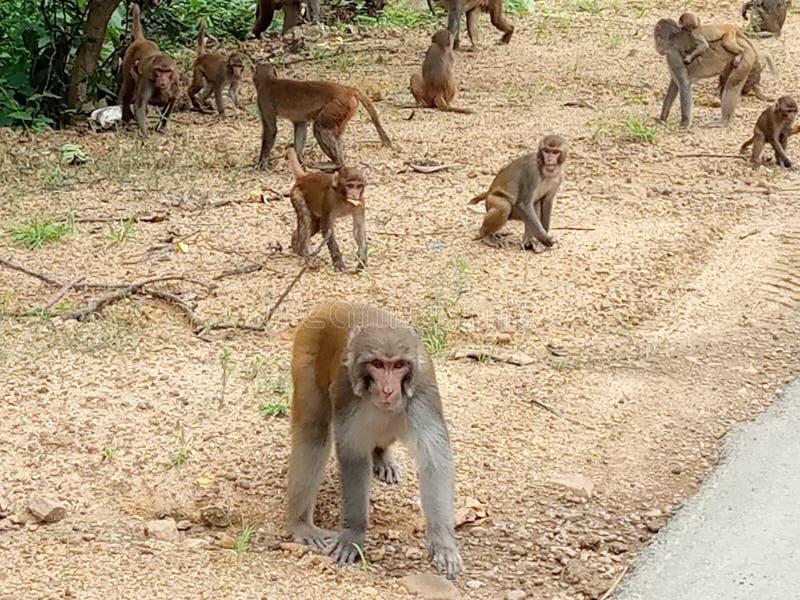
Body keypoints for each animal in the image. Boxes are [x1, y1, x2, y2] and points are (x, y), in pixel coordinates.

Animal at [119, 4, 180, 137]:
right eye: (159, 71)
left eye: (167, 72)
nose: (163, 79)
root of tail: (141, 40)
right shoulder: (147, 79)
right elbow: (141, 104)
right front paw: (145, 134)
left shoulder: (175, 80)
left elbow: (172, 99)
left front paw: (162, 127)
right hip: (128, 60)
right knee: (128, 92)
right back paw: (126, 122)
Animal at [253, 63, 391, 170]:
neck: (268, 81)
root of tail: (348, 90)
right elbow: (300, 125)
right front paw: (299, 158)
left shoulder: (263, 99)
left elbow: (271, 129)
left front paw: (261, 163)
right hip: (344, 111)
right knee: (334, 134)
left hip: (337, 106)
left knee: (319, 127)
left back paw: (336, 163)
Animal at [286, 300, 463, 580]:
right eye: (378, 364)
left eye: (399, 365)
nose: (388, 390)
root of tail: (335, 303)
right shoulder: (347, 391)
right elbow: (354, 457)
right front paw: (353, 535)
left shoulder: (422, 392)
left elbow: (435, 461)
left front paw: (443, 543)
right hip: (305, 349)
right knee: (313, 432)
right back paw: (301, 524)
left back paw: (382, 458)